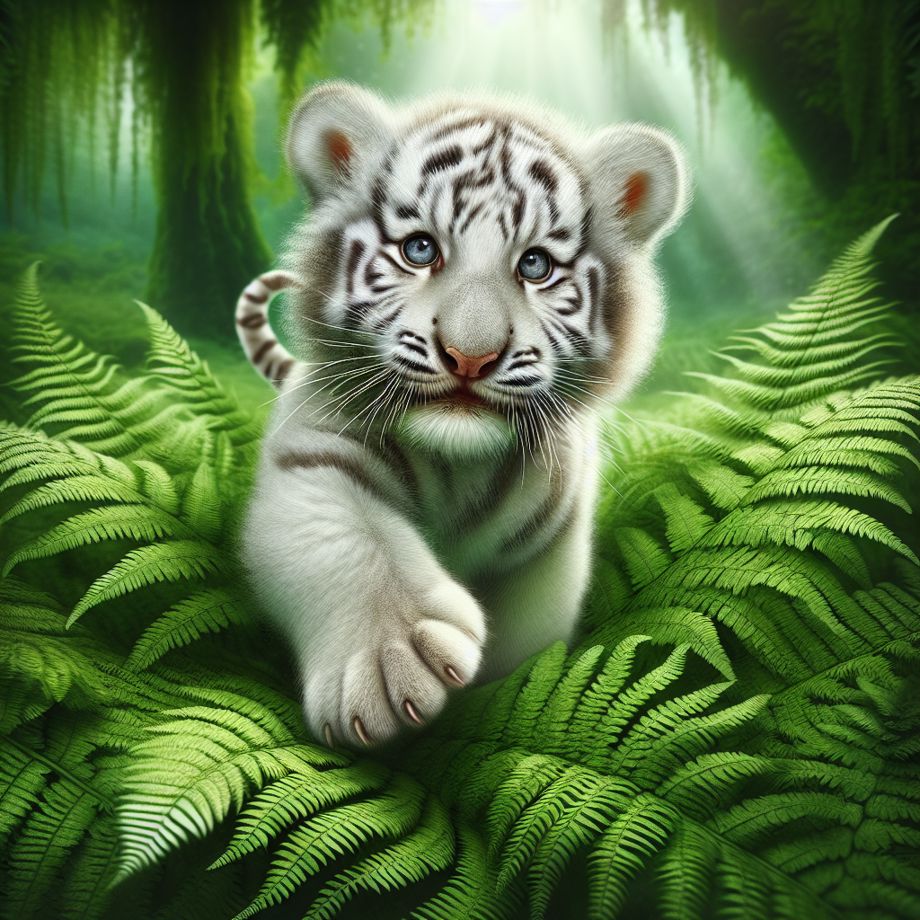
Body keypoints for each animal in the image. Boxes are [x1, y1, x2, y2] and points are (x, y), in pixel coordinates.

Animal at [236, 81, 689, 748]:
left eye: (535, 265)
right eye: (420, 249)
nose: (471, 356)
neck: (458, 464)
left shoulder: (552, 537)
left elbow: (530, 636)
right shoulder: (313, 453)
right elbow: (353, 540)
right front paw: (392, 660)